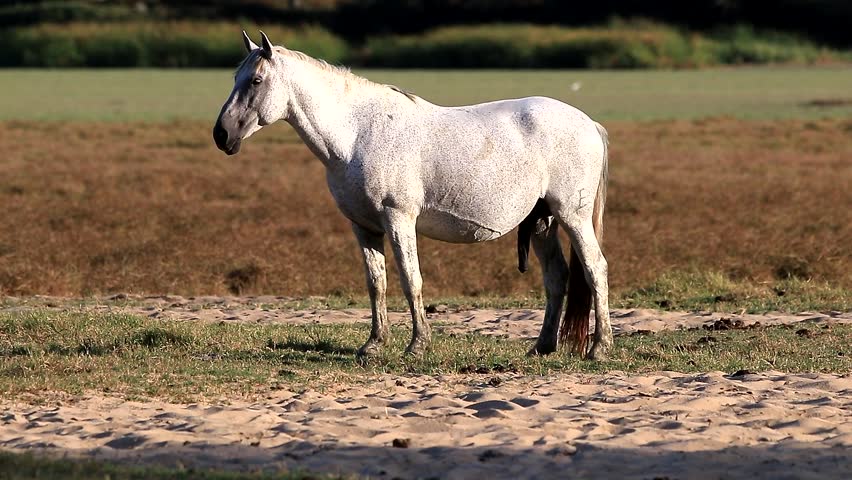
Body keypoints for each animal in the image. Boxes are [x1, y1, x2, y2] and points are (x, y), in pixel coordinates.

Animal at [213, 32, 613, 360]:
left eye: (256, 80)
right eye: (235, 78)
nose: (222, 135)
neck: (357, 134)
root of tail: (589, 123)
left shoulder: (398, 219)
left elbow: (410, 279)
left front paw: (418, 345)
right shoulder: (363, 227)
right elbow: (377, 283)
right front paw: (373, 345)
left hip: (572, 217)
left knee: (595, 268)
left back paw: (599, 347)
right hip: (543, 221)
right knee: (557, 278)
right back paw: (542, 348)